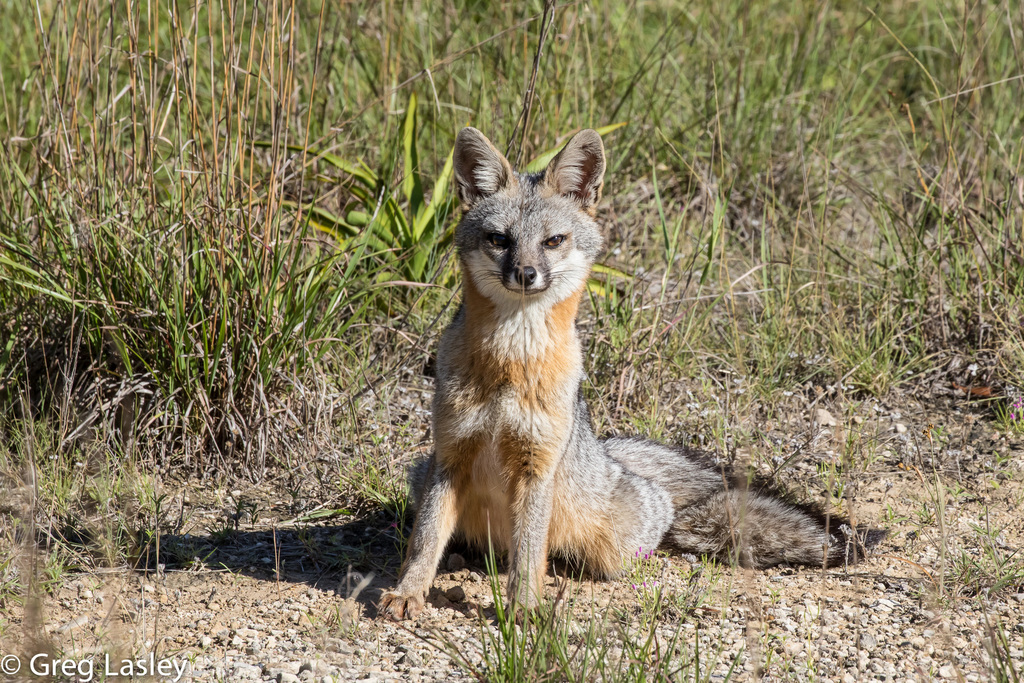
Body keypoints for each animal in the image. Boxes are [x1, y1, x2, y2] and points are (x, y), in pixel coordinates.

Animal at [377, 127, 884, 620]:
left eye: (553, 241)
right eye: (499, 240)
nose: (525, 273)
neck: (509, 365)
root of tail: (611, 457)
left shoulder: (537, 465)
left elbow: (529, 552)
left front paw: (523, 607)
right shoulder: (450, 455)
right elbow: (425, 541)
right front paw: (408, 592)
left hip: (615, 546)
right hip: (424, 474)